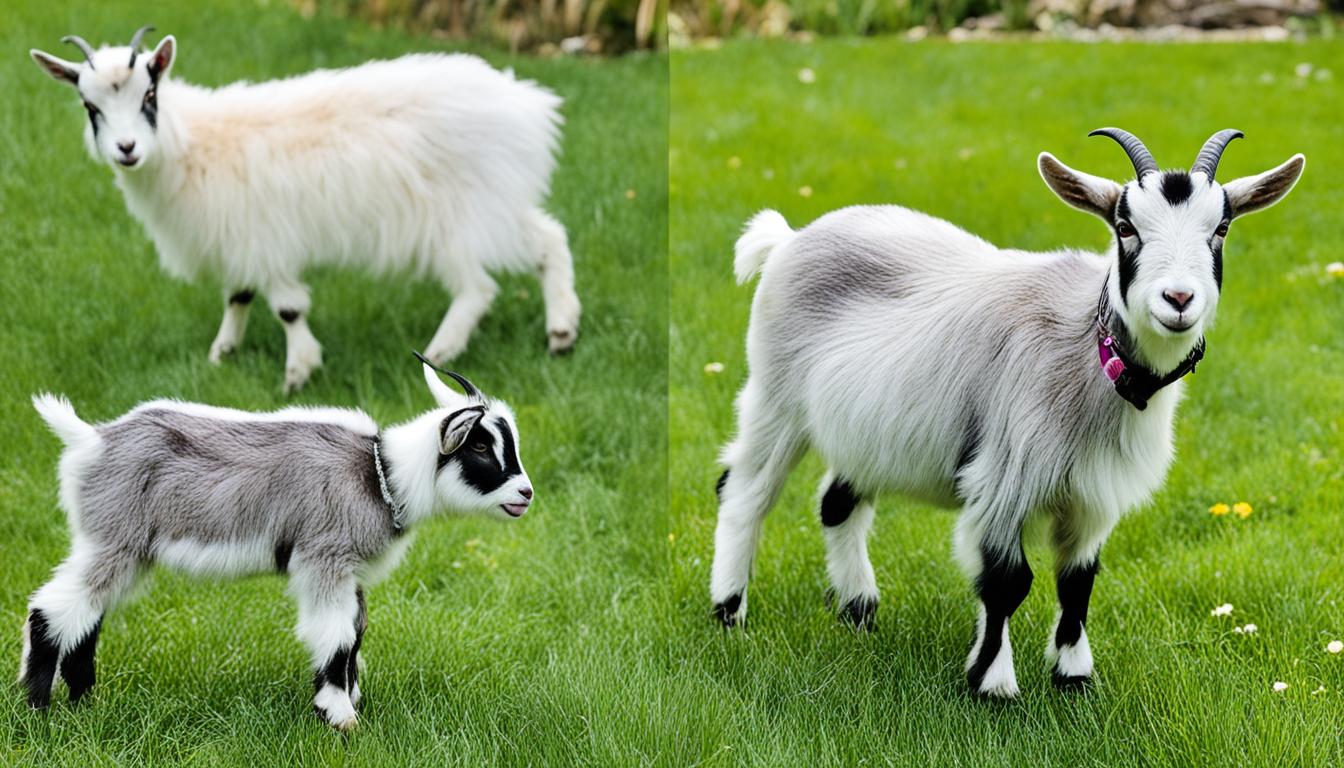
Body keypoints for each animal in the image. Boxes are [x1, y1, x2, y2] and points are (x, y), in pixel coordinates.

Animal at [21, 355, 533, 729]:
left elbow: (356, 630)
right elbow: (336, 634)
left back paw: (83, 702)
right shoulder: (325, 557)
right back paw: (37, 711)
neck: (380, 474)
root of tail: (92, 440)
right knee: (52, 608)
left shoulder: (348, 571)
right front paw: (340, 716)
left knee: (89, 614)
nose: (525, 493)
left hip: (124, 549)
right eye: (480, 446)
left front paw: (346, 697)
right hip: (113, 539)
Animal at [31, 27, 581, 392]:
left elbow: (287, 308)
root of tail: (529, 104)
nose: (126, 149)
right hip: (495, 201)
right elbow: (238, 294)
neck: (191, 145)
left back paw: (443, 350)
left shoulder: (267, 238)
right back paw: (560, 333)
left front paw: (297, 372)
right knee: (548, 238)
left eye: (149, 94)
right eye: (90, 107)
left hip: (465, 211)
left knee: (480, 286)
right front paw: (222, 354)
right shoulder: (242, 239)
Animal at [709, 129, 1304, 697]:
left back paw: (859, 612)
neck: (1088, 350)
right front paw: (993, 683)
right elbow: (1006, 581)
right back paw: (730, 612)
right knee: (743, 493)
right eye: (1125, 227)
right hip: (775, 398)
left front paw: (1074, 677)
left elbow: (1078, 581)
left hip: (866, 430)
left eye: (1221, 228)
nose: (1178, 299)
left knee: (837, 503)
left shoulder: (1093, 494)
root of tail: (788, 240)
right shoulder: (1003, 479)